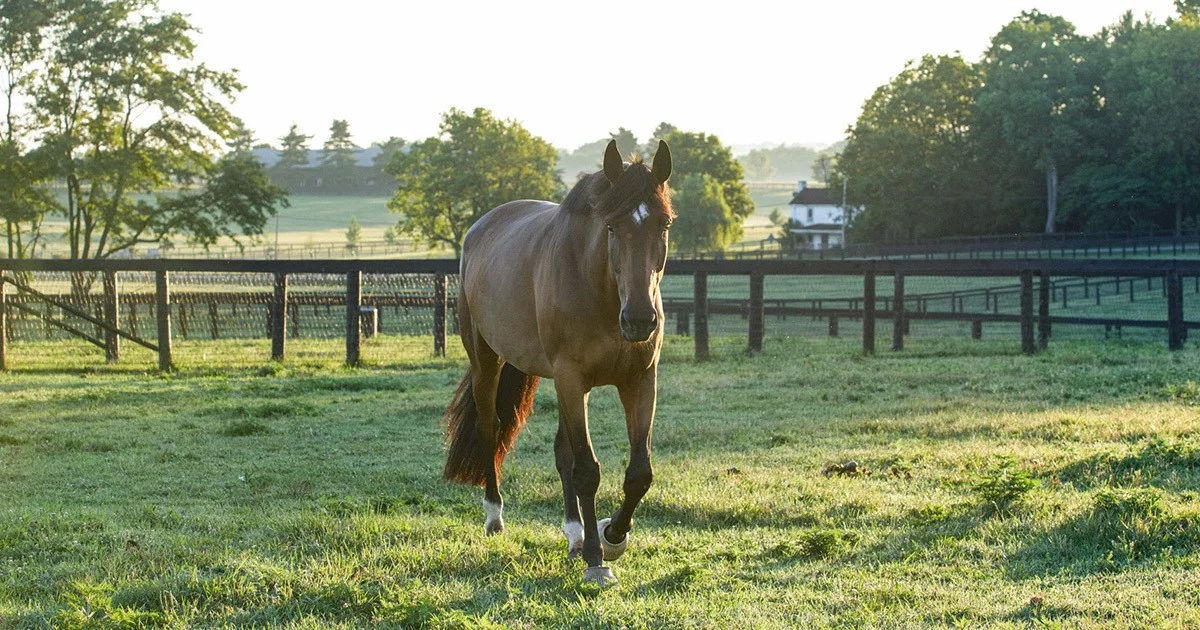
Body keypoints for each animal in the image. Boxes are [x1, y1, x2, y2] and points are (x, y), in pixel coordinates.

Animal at [441, 139, 673, 585]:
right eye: (611, 227)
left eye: (665, 224)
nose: (640, 319)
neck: (599, 290)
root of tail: (481, 227)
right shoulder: (571, 377)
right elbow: (587, 469)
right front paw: (598, 562)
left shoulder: (639, 381)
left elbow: (638, 472)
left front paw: (612, 536)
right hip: (487, 362)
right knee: (489, 429)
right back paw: (494, 517)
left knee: (561, 450)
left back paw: (574, 534)